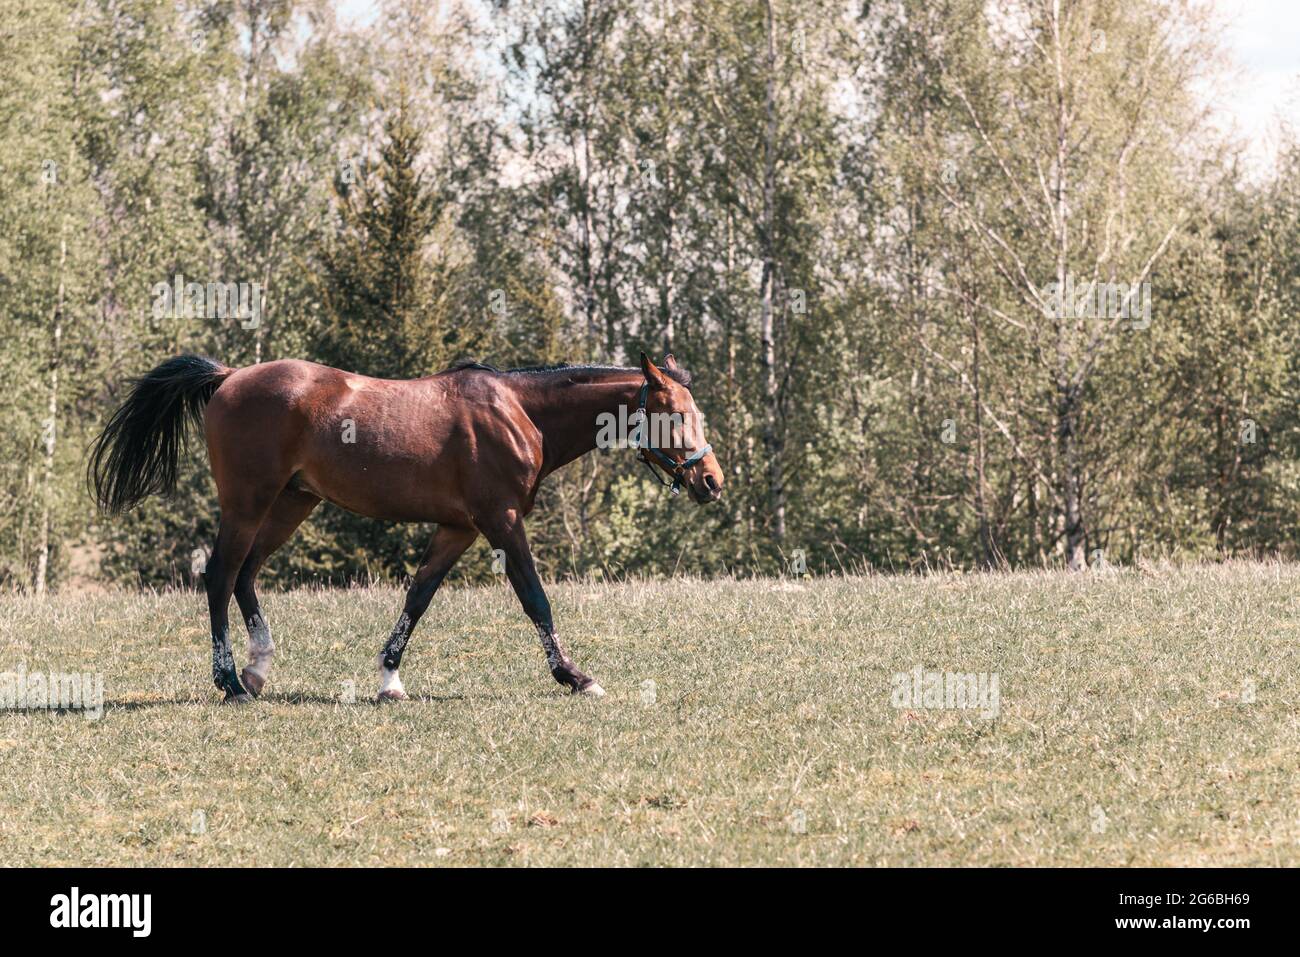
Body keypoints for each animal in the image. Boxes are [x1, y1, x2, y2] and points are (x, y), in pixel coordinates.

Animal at [88, 353, 724, 703]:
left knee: (245, 576)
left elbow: (418, 596)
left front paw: (389, 678)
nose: (712, 480)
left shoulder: (457, 529)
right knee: (221, 575)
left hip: (291, 503)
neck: (519, 411)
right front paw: (574, 676)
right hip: (248, 502)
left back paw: (258, 667)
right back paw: (231, 683)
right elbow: (535, 599)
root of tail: (229, 376)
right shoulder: (501, 522)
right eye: (674, 414)